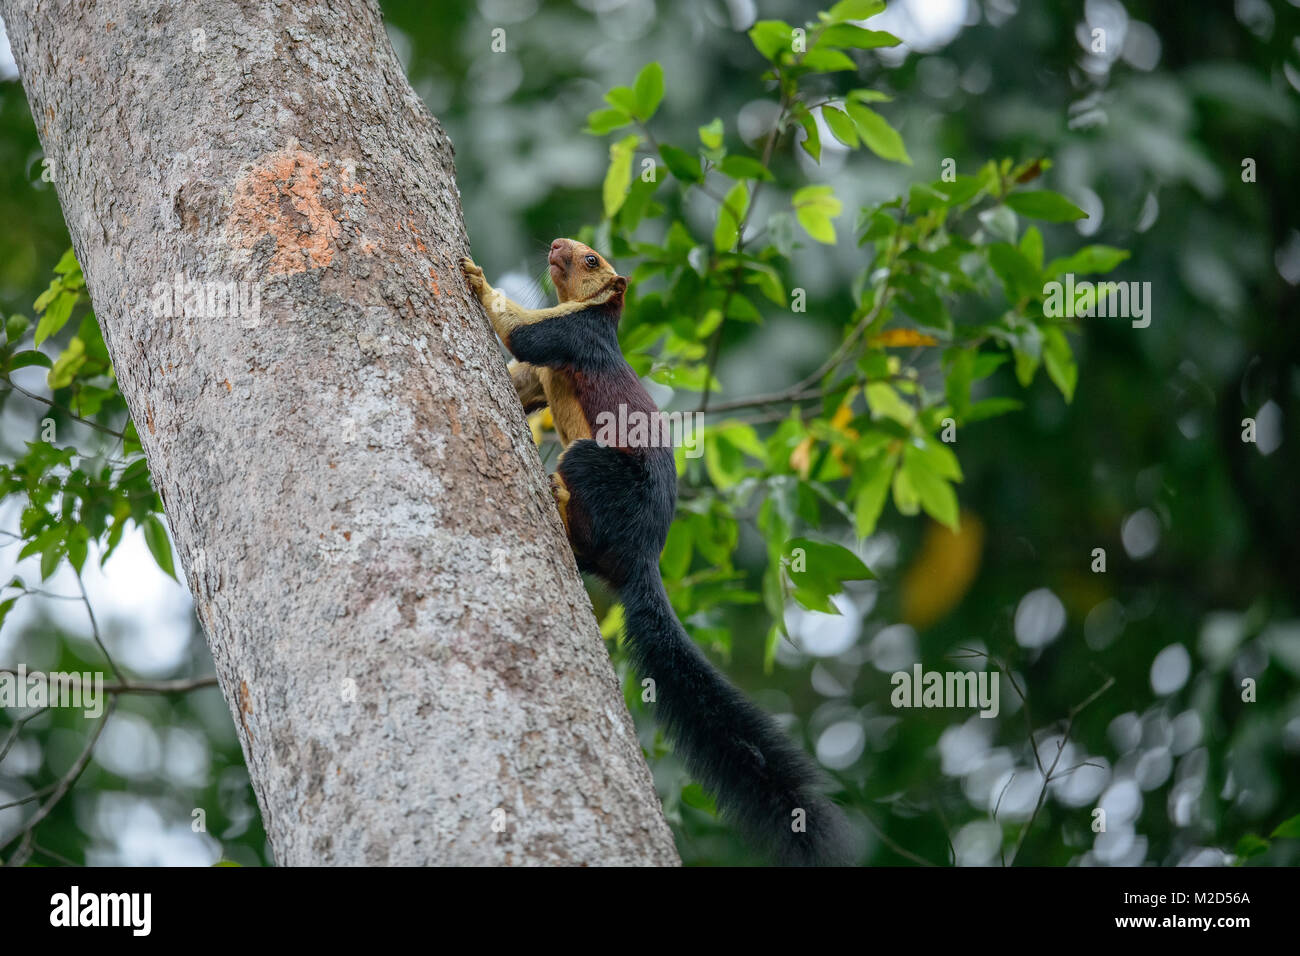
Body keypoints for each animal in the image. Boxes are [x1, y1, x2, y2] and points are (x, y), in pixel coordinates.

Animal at [460, 238, 851, 865]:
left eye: (592, 260)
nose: (556, 245)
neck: (592, 311)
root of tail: (643, 556)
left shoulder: (573, 336)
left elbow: (519, 332)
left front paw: (476, 277)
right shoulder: (540, 375)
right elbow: (521, 382)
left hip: (593, 465)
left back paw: (557, 494)